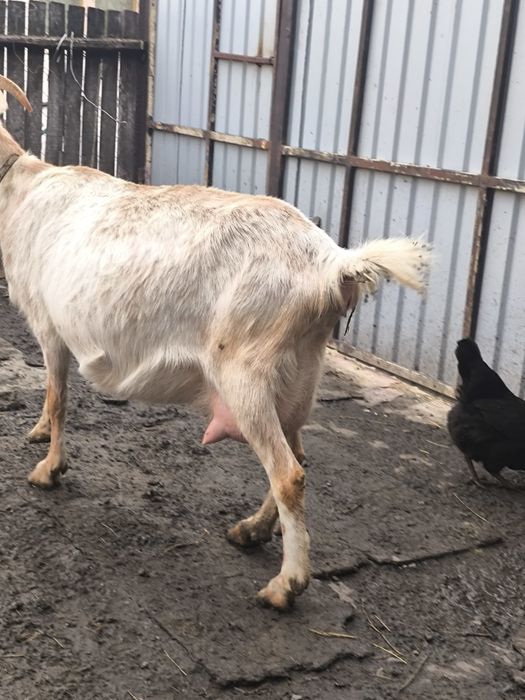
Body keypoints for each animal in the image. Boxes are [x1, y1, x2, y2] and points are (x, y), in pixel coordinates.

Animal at [0, 76, 431, 610]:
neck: (19, 186)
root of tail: (332, 266)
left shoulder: (50, 326)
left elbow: (58, 397)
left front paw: (48, 470)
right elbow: (51, 400)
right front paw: (38, 435)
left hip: (245, 372)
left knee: (288, 473)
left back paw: (285, 585)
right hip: (298, 374)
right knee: (298, 456)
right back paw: (251, 531)